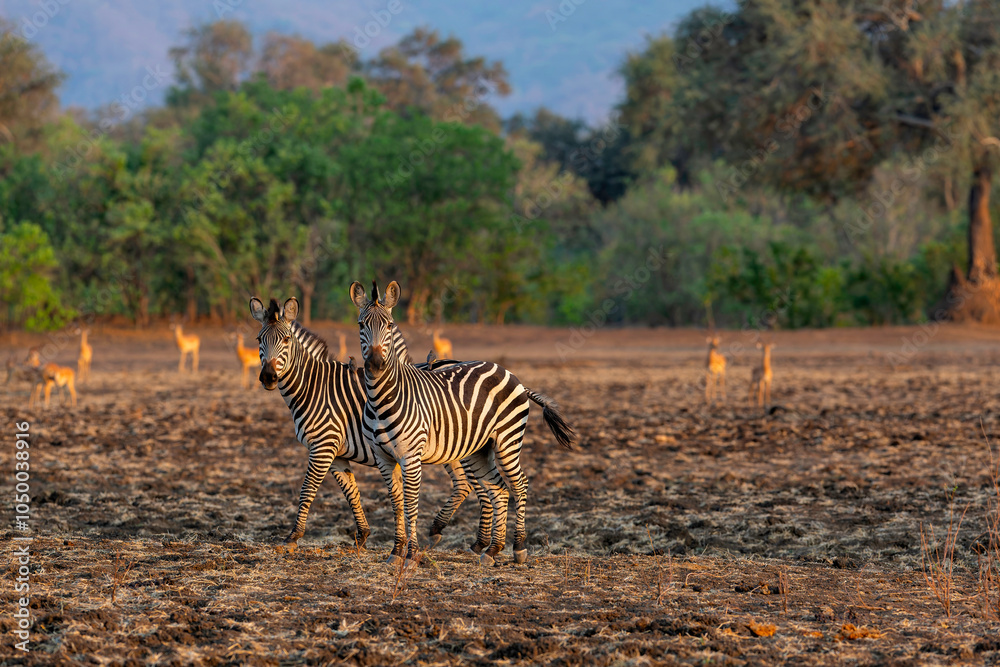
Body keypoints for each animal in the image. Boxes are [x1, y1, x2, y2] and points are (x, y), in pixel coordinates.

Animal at [249, 296, 493, 552]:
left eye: (286, 340)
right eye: (259, 340)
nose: (268, 377)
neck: (313, 388)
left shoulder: (323, 446)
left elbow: (308, 489)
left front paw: (292, 537)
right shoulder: (337, 454)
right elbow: (351, 491)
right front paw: (362, 535)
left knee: (481, 488)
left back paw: (480, 543)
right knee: (464, 485)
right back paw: (441, 530)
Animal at [351, 280, 577, 566]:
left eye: (390, 325)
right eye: (361, 325)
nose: (376, 365)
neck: (382, 398)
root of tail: (510, 374)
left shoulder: (411, 456)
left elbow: (411, 504)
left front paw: (411, 555)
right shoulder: (383, 458)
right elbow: (397, 503)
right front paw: (396, 551)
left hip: (508, 441)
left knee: (519, 484)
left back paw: (518, 549)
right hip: (481, 449)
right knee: (499, 489)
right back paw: (492, 551)